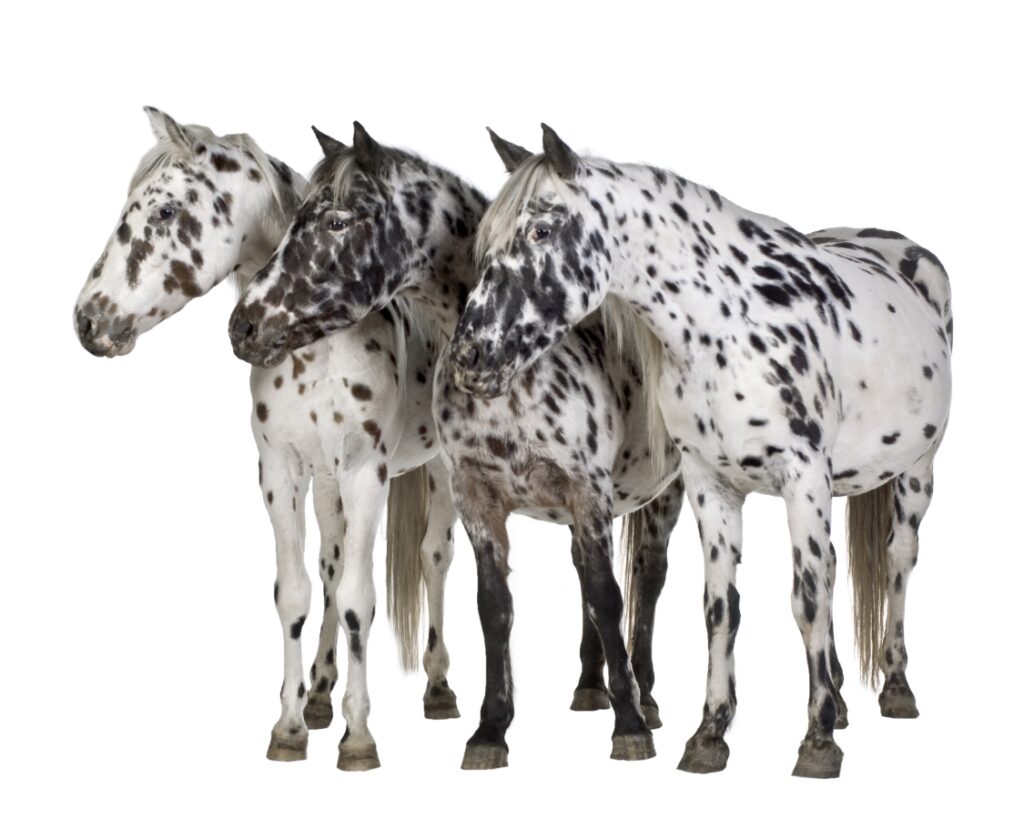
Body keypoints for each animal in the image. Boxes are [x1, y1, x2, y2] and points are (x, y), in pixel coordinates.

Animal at [73, 109, 462, 771]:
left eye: (165, 210)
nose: (87, 321)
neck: (317, 345)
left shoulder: (366, 475)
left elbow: (359, 597)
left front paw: (359, 737)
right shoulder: (283, 472)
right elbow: (299, 592)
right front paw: (291, 724)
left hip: (439, 473)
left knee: (434, 558)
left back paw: (438, 688)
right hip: (326, 485)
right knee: (331, 565)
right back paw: (322, 693)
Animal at [228, 123, 687, 769]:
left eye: (337, 222)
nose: (243, 326)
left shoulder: (587, 495)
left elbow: (607, 594)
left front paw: (630, 726)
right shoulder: (479, 498)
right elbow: (495, 609)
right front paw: (490, 731)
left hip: (666, 495)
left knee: (646, 577)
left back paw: (643, 696)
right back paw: (589, 688)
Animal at [448, 125, 952, 779]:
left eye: (541, 230)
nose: (470, 359)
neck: (730, 323)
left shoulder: (802, 478)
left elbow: (807, 599)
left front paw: (816, 743)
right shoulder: (712, 486)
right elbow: (720, 607)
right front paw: (710, 734)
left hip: (916, 475)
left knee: (897, 562)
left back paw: (894, 688)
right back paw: (841, 699)